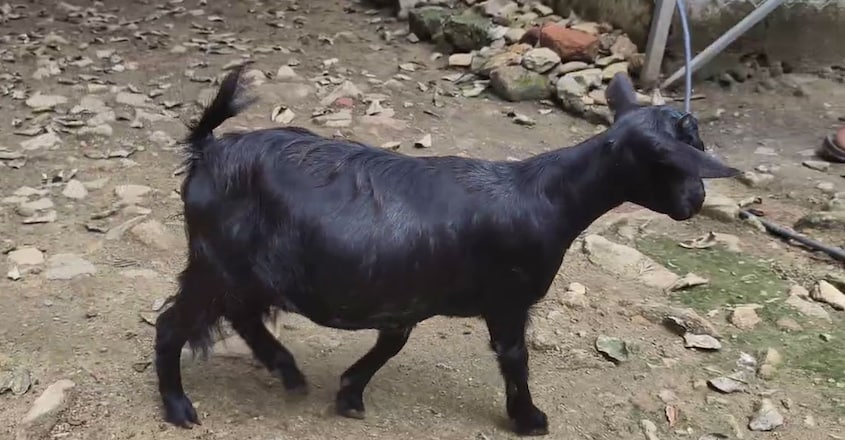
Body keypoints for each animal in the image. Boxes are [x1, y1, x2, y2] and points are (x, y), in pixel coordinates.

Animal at [154, 65, 738, 436]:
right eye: (678, 158)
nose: (696, 201)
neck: (547, 197)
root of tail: (206, 148)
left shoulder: (407, 291)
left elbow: (391, 343)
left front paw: (349, 393)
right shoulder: (507, 298)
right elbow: (515, 359)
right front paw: (529, 420)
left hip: (243, 267)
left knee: (242, 314)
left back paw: (288, 371)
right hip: (217, 260)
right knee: (174, 323)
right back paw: (180, 407)